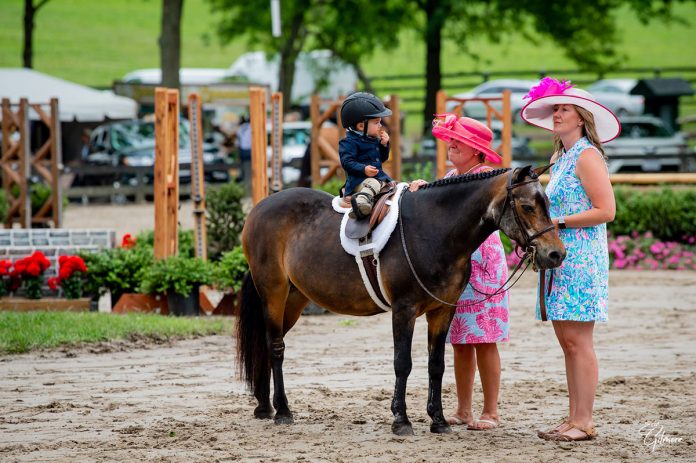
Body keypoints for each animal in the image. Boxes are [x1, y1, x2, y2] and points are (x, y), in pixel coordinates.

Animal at [237, 165, 565, 436]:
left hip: (294, 300)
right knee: (275, 347)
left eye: (548, 205)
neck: (434, 229)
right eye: (527, 206)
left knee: (268, 344)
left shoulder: (441, 311)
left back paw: (265, 406)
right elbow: (402, 363)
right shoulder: (403, 310)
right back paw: (282, 410)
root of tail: (259, 208)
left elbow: (436, 365)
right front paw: (401, 420)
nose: (556, 254)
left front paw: (439, 420)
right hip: (274, 294)